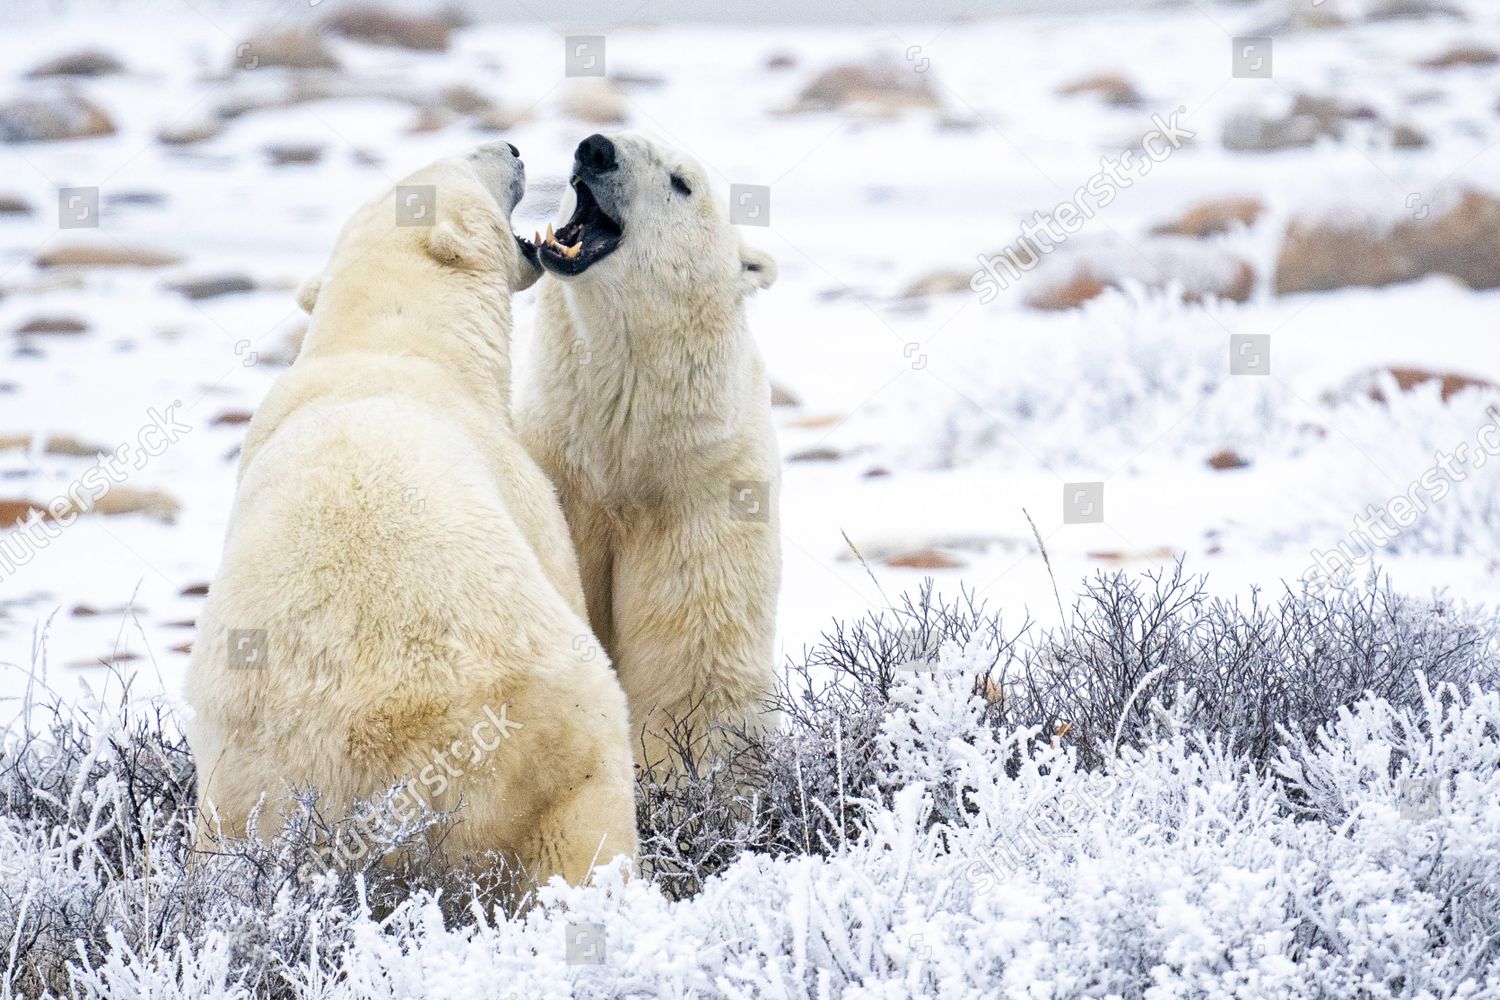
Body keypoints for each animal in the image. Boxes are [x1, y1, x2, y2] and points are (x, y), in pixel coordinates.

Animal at [184, 142, 637, 891]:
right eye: (470, 157)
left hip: (244, 796)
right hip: (563, 743)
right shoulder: (517, 479)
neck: (385, 343)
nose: (511, 146)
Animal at [516, 132, 782, 775]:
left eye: (681, 182)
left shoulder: (702, 491)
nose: (595, 149)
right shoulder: (556, 463)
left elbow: (691, 658)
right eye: (613, 132)